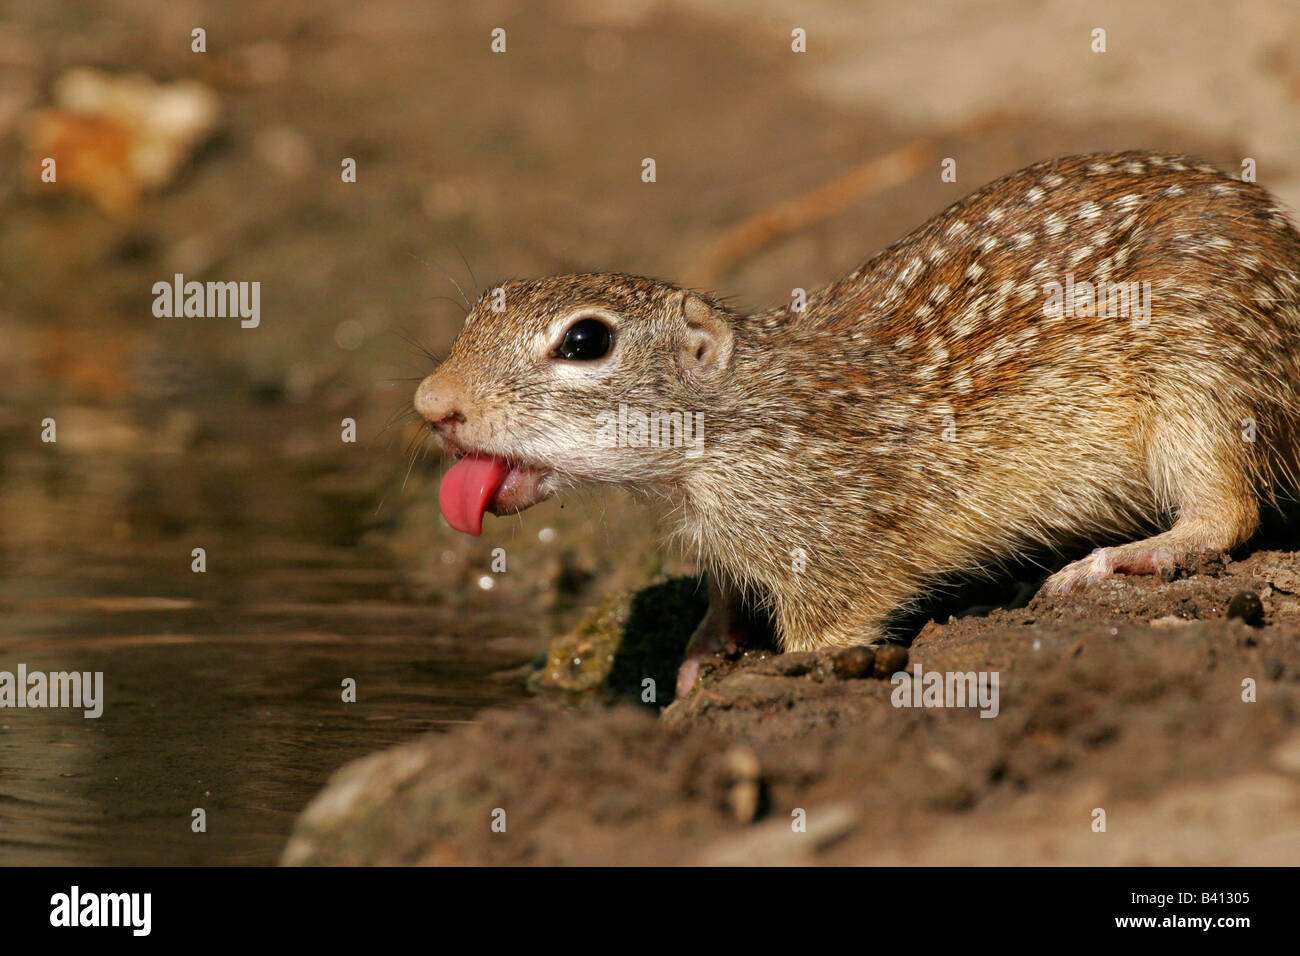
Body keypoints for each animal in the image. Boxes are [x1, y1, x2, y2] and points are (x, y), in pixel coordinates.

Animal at [414, 151, 1300, 697]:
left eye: (585, 342)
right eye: (481, 308)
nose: (432, 404)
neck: (719, 439)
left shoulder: (832, 546)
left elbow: (826, 630)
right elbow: (726, 595)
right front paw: (700, 653)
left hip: (1202, 389)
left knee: (1227, 512)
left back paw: (1119, 560)